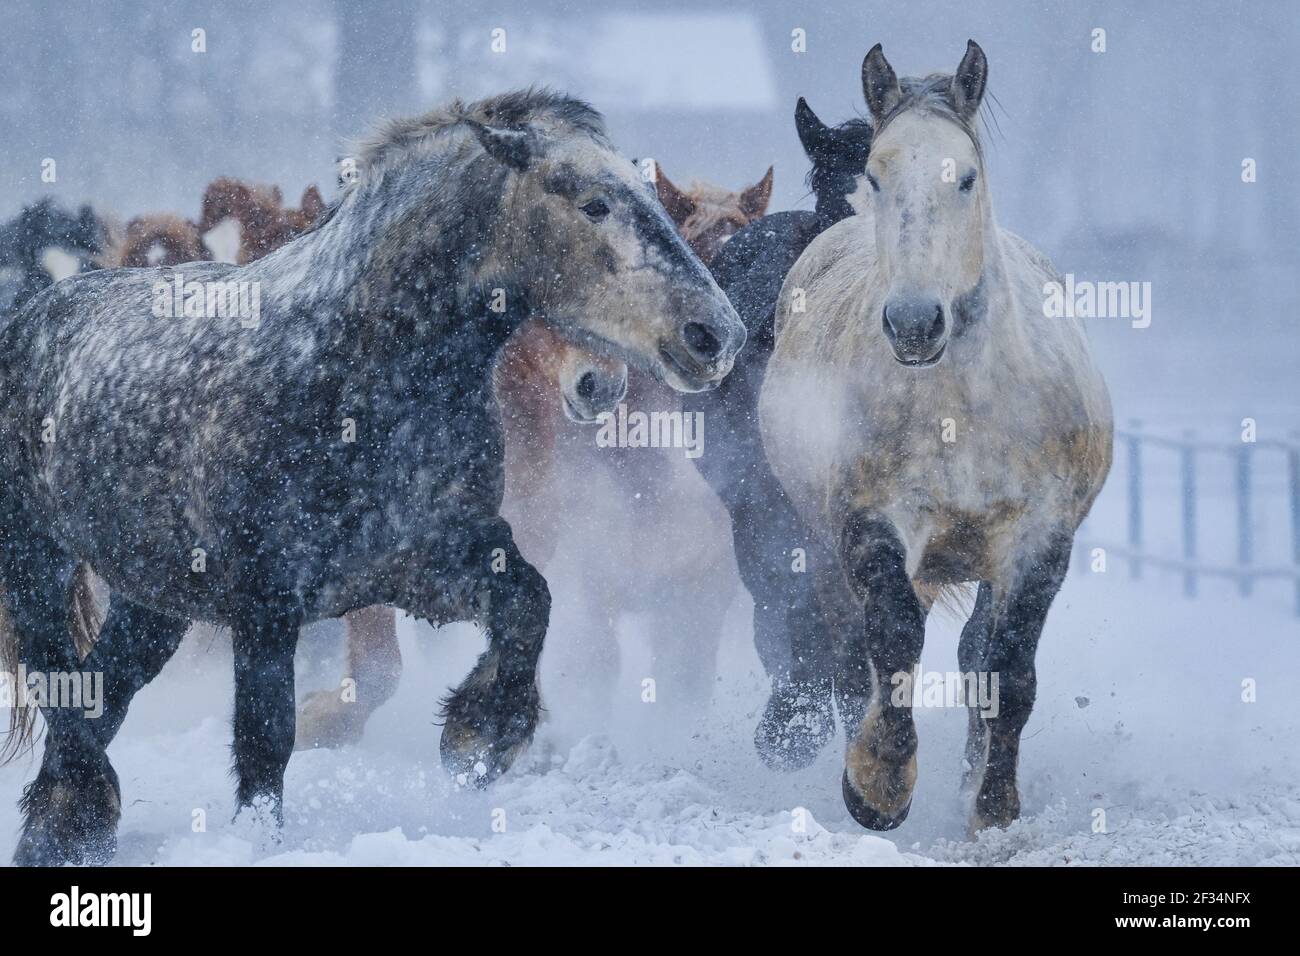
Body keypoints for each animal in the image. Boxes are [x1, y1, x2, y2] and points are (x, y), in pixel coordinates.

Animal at [0, 88, 744, 865]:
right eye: (595, 203)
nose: (716, 336)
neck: (360, 366)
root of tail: (32, 312)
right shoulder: (266, 601)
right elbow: (267, 737)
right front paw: (261, 838)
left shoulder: (428, 562)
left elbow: (529, 602)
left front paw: (478, 737)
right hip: (37, 561)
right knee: (63, 683)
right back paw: (70, 820)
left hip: (157, 596)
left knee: (105, 687)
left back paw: (63, 826)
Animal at [759, 43, 1112, 832]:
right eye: (876, 174)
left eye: (967, 177)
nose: (915, 322)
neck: (963, 407)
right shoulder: (871, 525)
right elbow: (891, 640)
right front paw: (878, 785)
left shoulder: (1039, 538)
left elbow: (1007, 668)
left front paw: (993, 806)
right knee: (853, 643)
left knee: (973, 648)